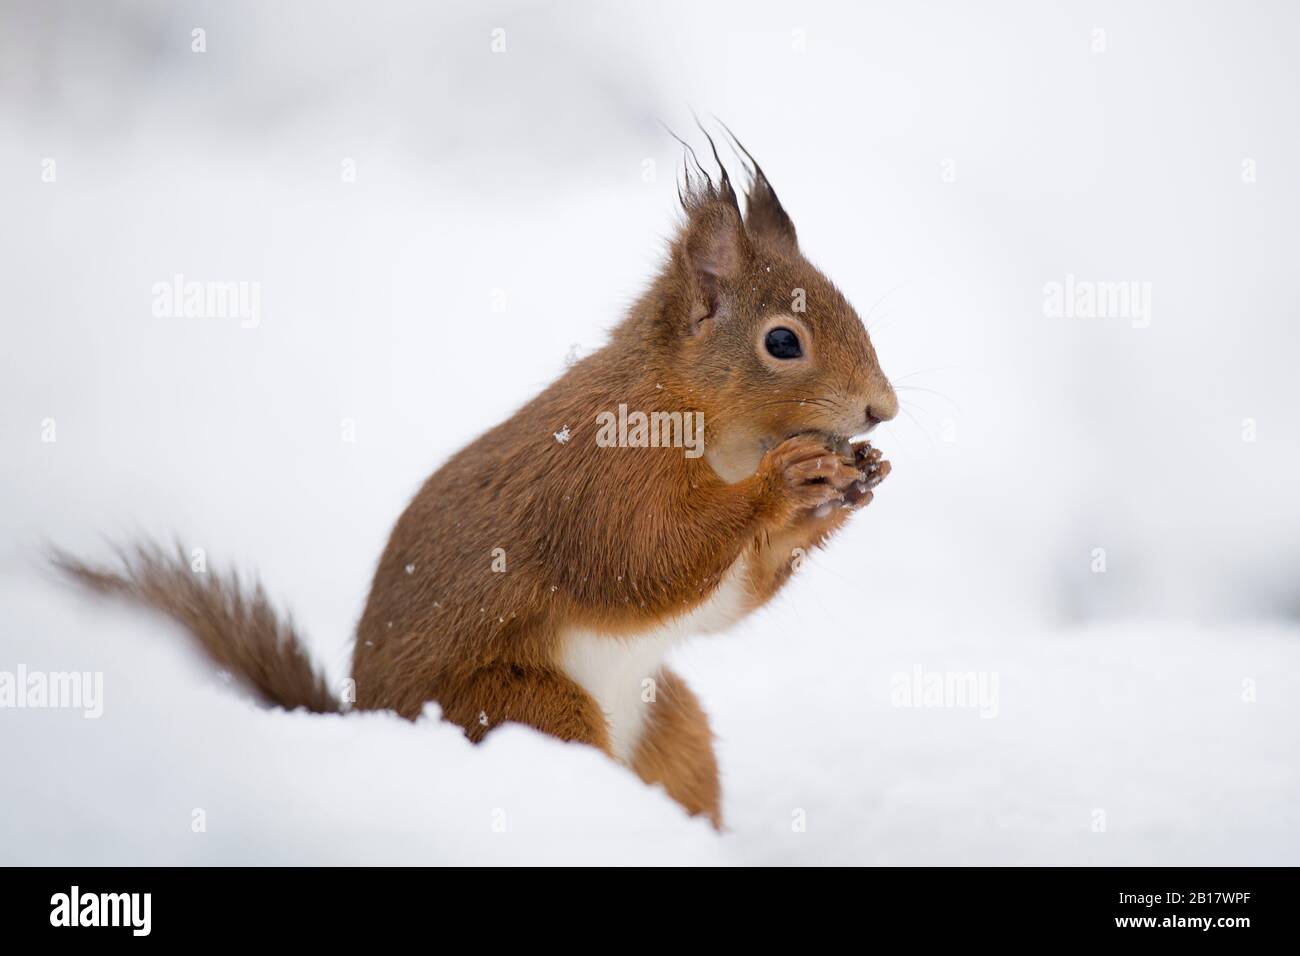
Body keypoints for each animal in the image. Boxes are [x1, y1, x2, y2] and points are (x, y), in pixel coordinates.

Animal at [57, 128, 897, 829]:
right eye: (782, 342)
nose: (882, 410)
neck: (705, 424)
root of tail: (373, 726)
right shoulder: (601, 478)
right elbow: (642, 560)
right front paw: (781, 485)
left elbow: (725, 599)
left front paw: (842, 494)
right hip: (523, 707)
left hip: (673, 728)